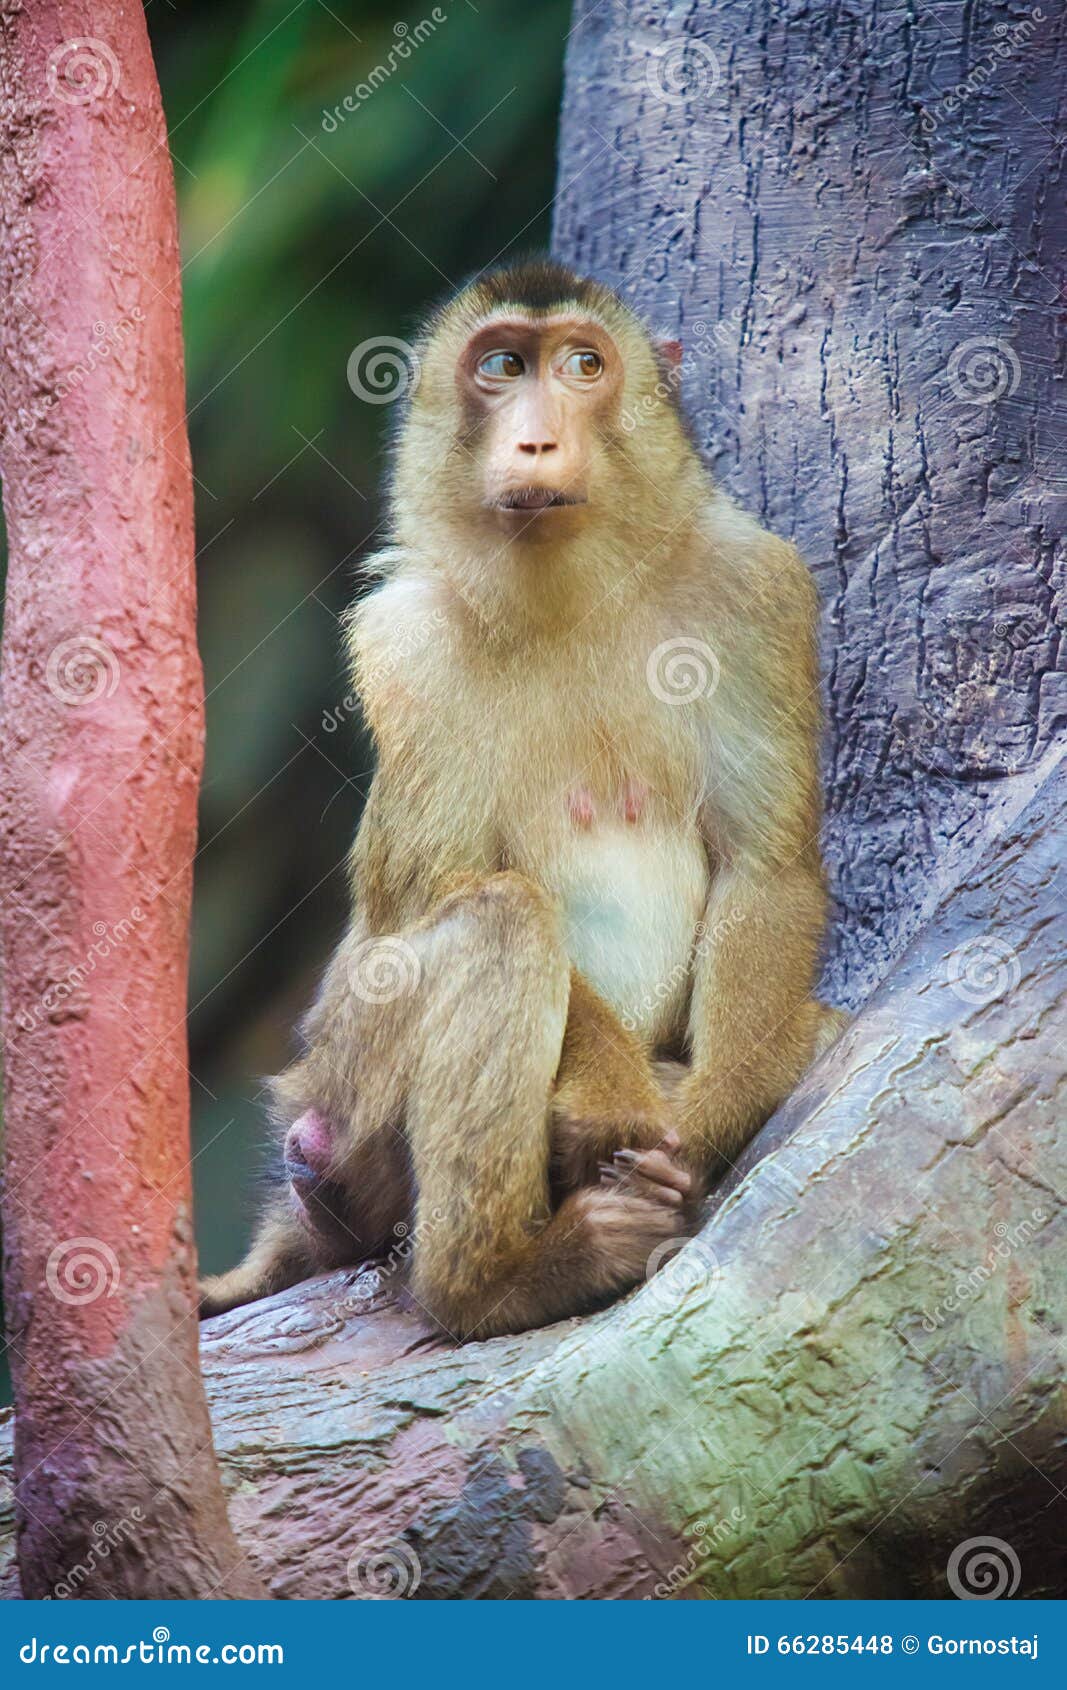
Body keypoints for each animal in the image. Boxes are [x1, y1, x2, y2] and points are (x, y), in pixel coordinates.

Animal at [199, 257, 847, 1341]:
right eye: (500, 367)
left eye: (582, 365)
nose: (536, 438)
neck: (573, 587)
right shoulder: (407, 641)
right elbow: (436, 891)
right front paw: (608, 1109)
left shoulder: (757, 587)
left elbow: (767, 868)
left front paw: (703, 1111)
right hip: (347, 1078)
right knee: (496, 921)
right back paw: (500, 1280)